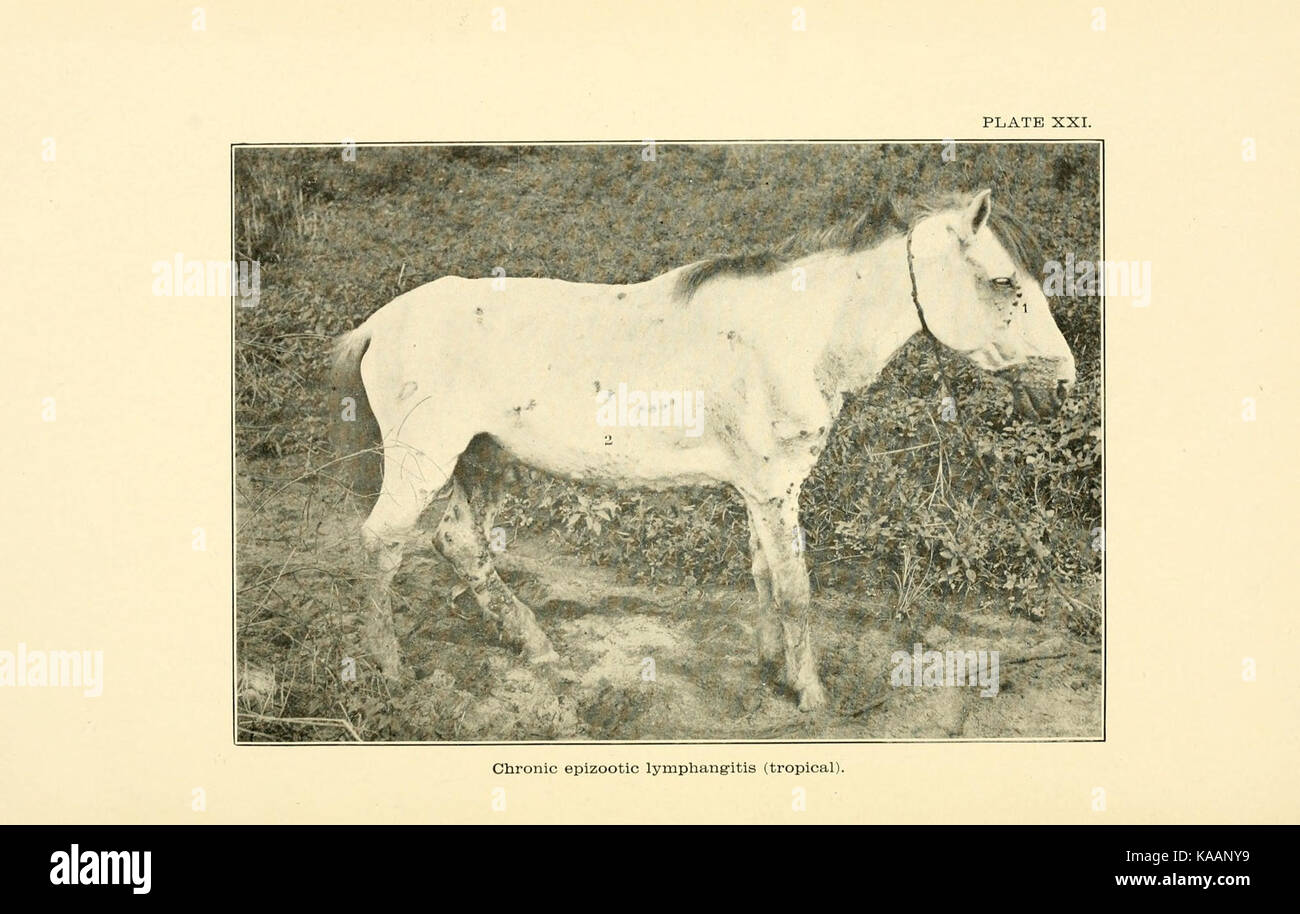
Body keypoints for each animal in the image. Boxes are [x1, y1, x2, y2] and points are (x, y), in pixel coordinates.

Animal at [329, 189, 1076, 712]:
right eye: (1005, 282)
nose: (1064, 382)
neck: (795, 333)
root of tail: (379, 323)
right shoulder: (773, 486)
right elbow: (797, 588)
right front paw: (810, 693)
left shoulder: (763, 488)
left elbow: (764, 574)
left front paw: (774, 667)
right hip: (427, 459)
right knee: (381, 543)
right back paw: (390, 668)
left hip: (482, 457)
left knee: (460, 542)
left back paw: (536, 647)